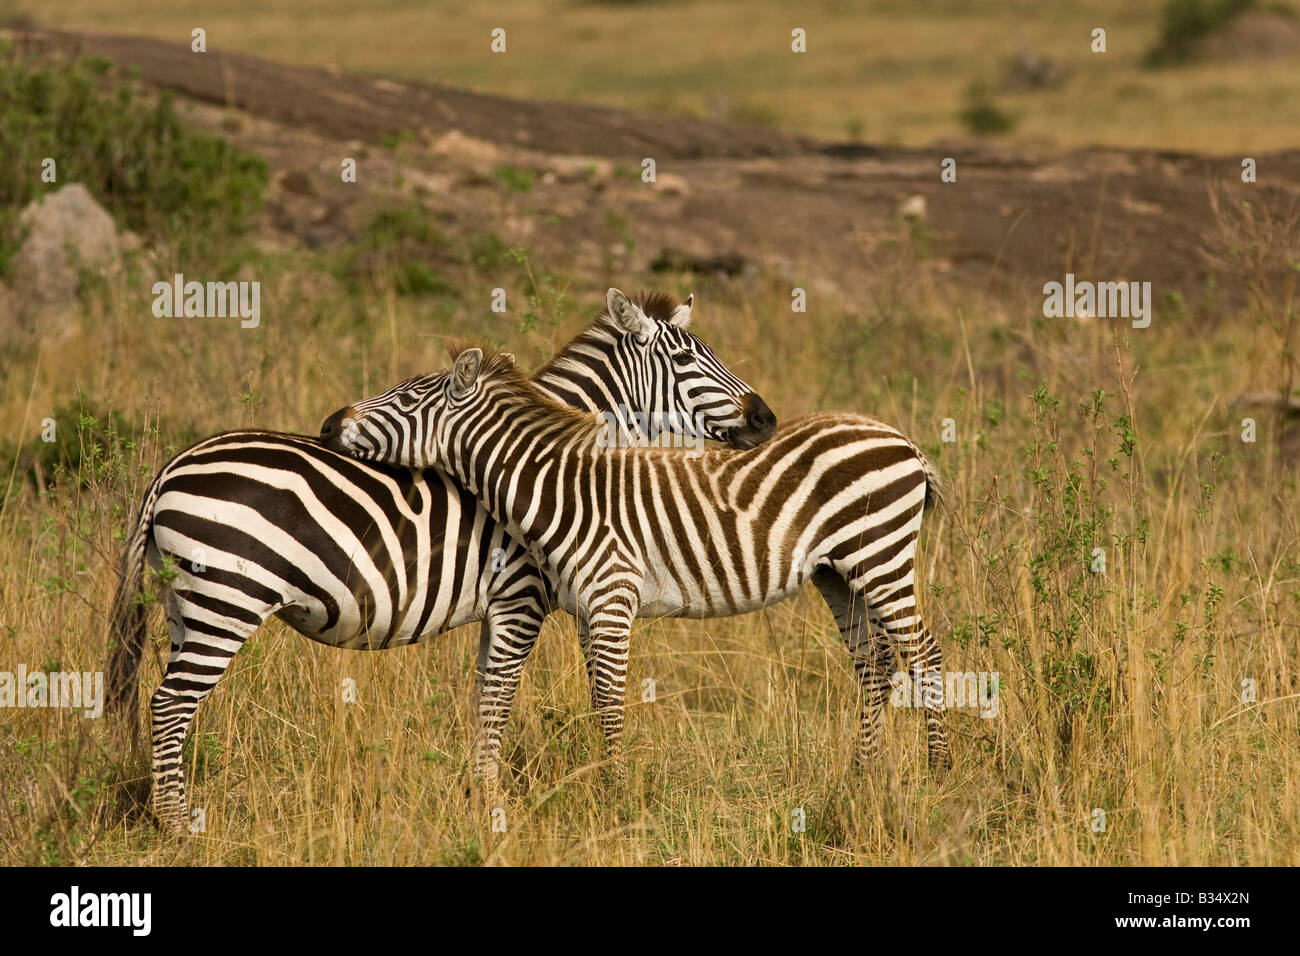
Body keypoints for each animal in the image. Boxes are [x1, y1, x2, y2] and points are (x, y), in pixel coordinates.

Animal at [107, 289, 777, 832]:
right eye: (688, 362)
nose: (767, 418)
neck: (552, 468)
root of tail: (172, 466)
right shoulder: (521, 597)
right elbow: (499, 702)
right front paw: (494, 808)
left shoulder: (518, 606)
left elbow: (489, 699)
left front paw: (481, 801)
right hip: (227, 601)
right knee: (170, 705)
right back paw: (179, 829)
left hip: (187, 606)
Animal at [323, 345, 952, 776]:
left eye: (406, 397)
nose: (329, 424)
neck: (561, 491)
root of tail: (900, 439)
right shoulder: (586, 607)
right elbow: (596, 696)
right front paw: (609, 784)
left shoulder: (611, 598)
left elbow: (610, 700)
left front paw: (616, 794)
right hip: (839, 572)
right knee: (875, 665)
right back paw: (861, 776)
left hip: (881, 556)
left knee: (927, 655)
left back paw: (938, 772)